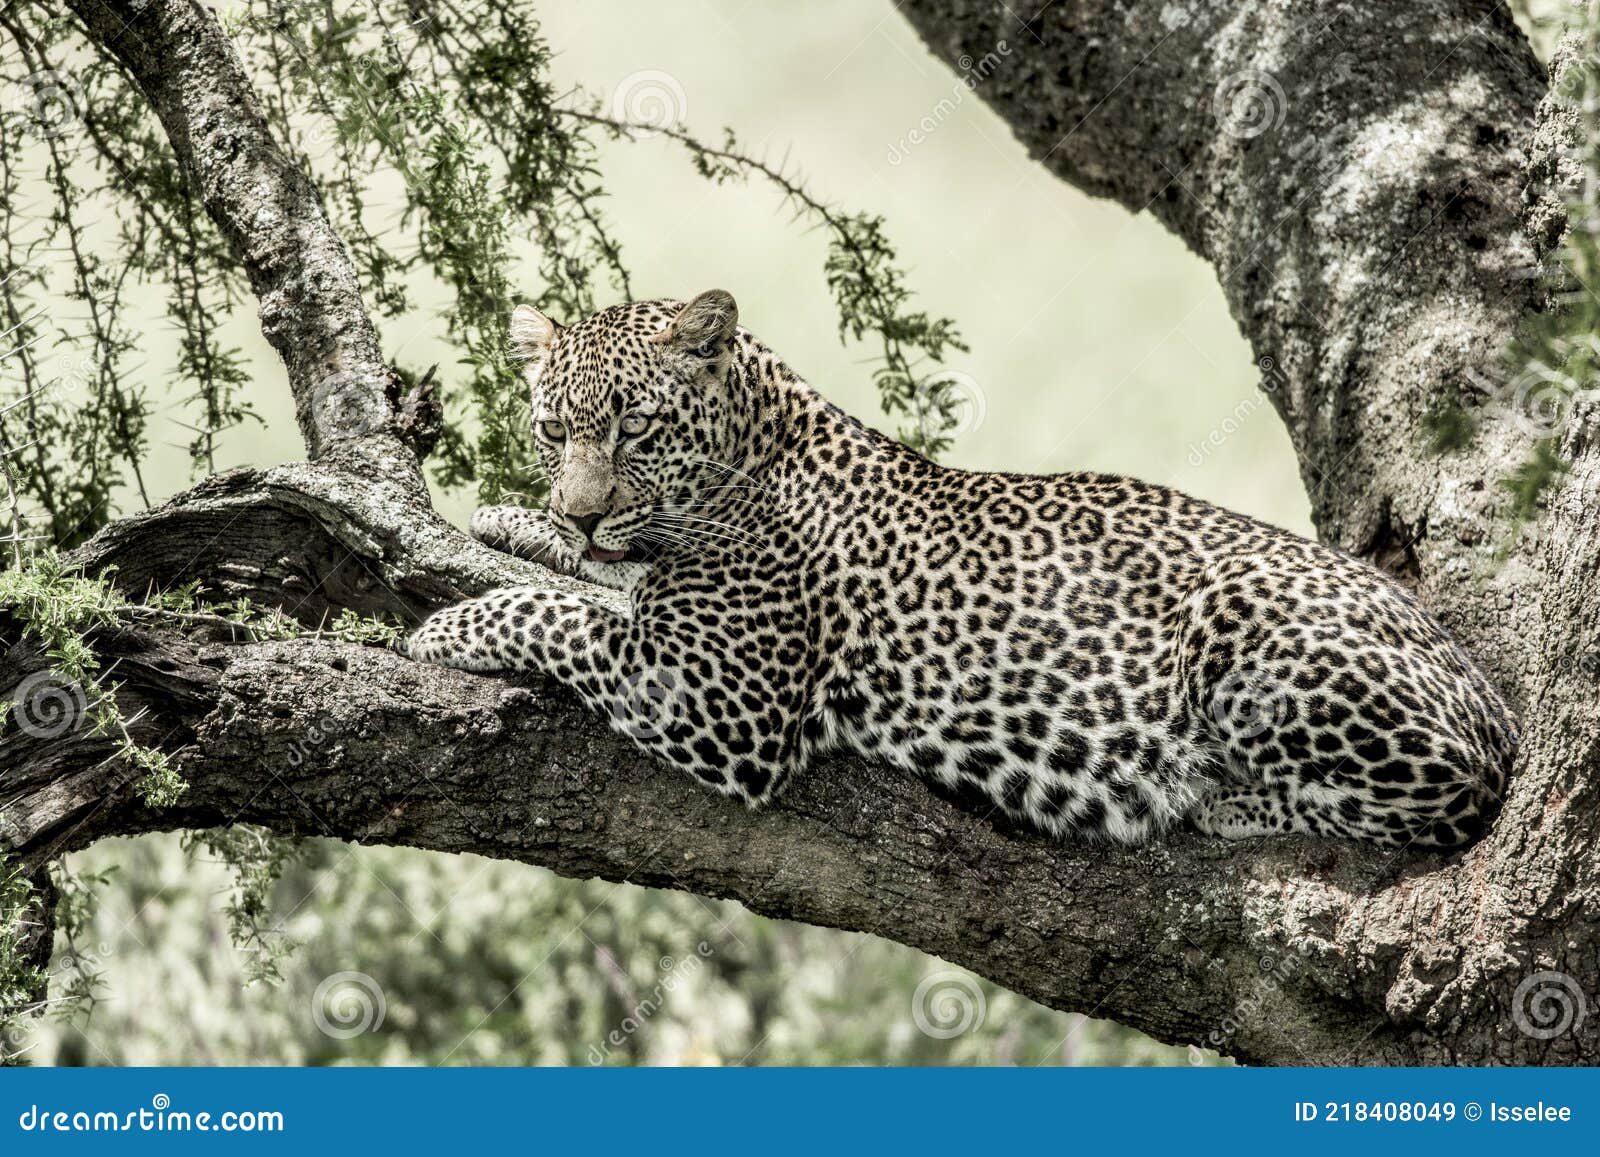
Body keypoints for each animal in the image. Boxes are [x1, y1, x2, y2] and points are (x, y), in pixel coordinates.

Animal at [404, 290, 1517, 848]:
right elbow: (595, 583)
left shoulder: (719, 696)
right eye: (554, 430)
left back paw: (1219, 796)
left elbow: (563, 616)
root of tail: (1482, 680)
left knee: (1456, 791)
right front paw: (517, 520)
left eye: (635, 427)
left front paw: (449, 625)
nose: (582, 510)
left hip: (1252, 630)